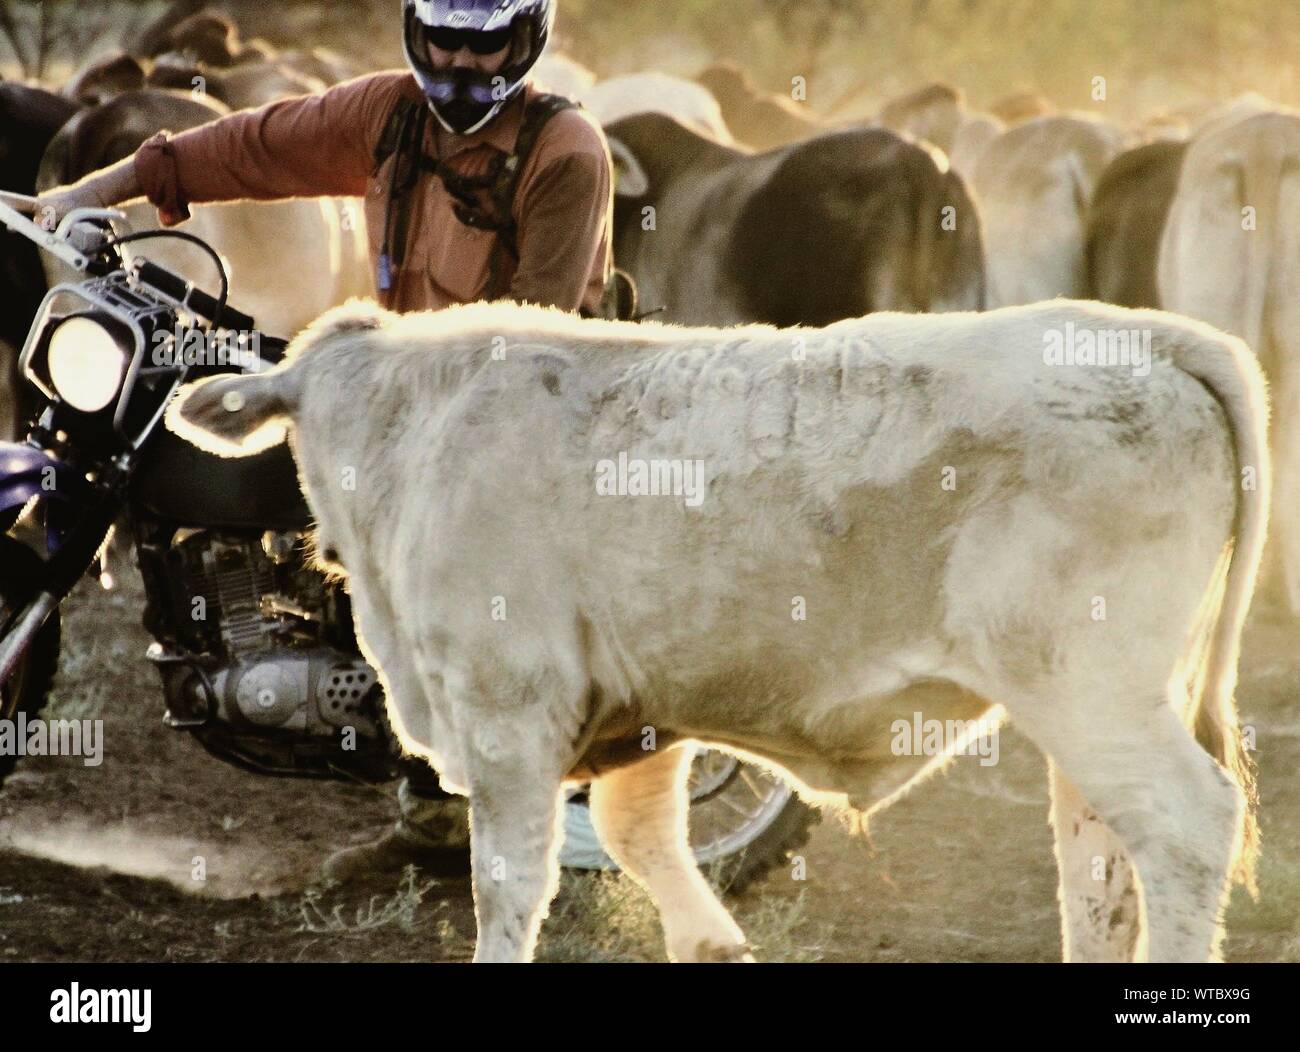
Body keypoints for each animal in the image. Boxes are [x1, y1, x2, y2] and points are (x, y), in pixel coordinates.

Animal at [167, 296, 1267, 964]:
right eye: (317, 426)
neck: (420, 432)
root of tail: (1150, 335)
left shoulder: (508, 711)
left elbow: (508, 884)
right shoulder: (644, 711)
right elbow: (639, 835)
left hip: (1089, 688)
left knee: (1184, 827)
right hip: (1096, 707)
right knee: (1100, 861)